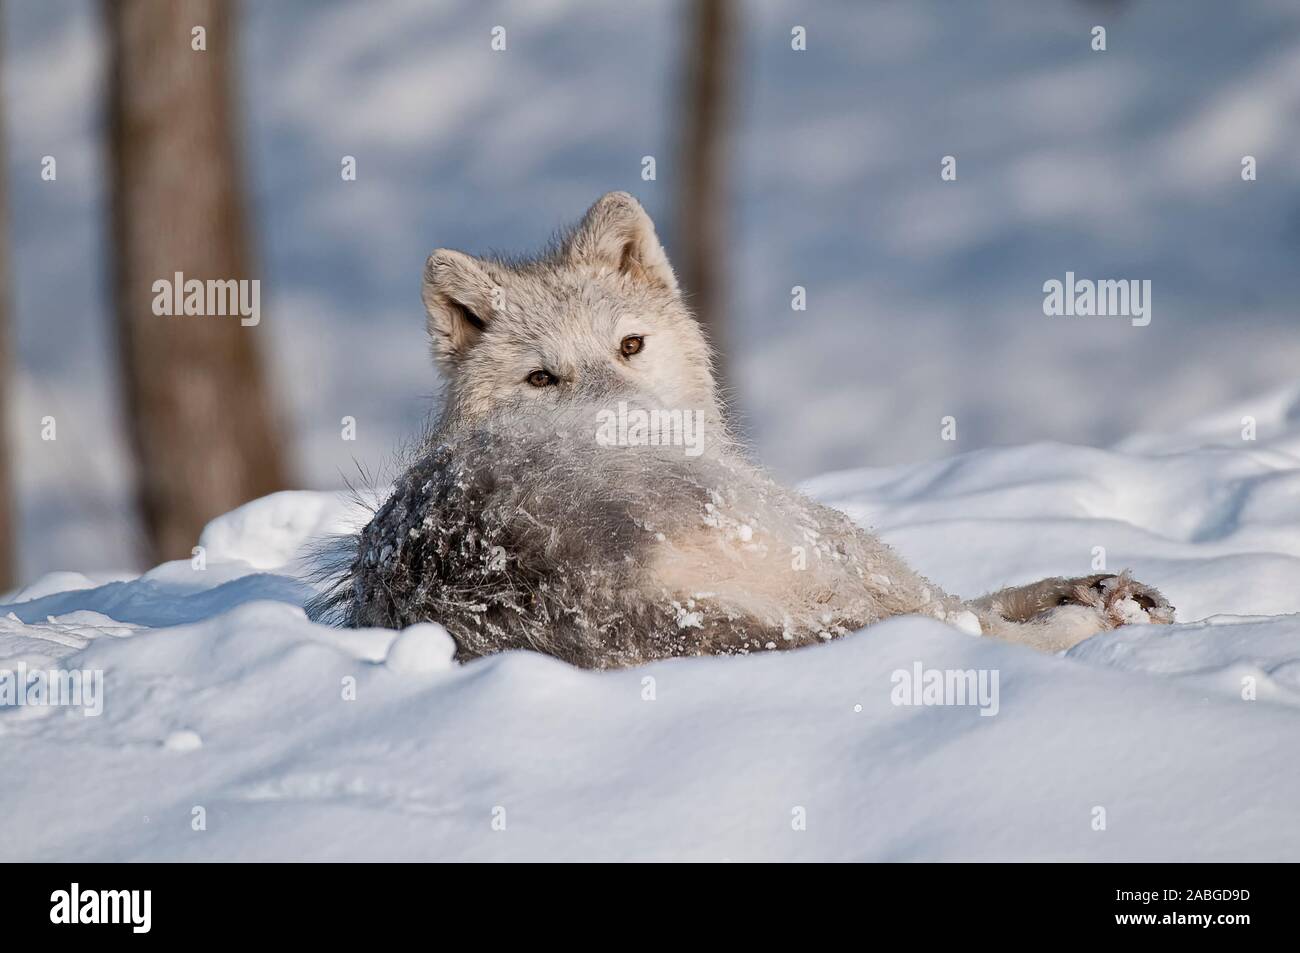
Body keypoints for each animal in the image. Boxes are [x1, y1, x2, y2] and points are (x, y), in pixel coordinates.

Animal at [310, 191, 1174, 667]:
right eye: (541, 379)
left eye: (631, 346)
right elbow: (957, 606)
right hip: (803, 525)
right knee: (952, 617)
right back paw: (1096, 610)